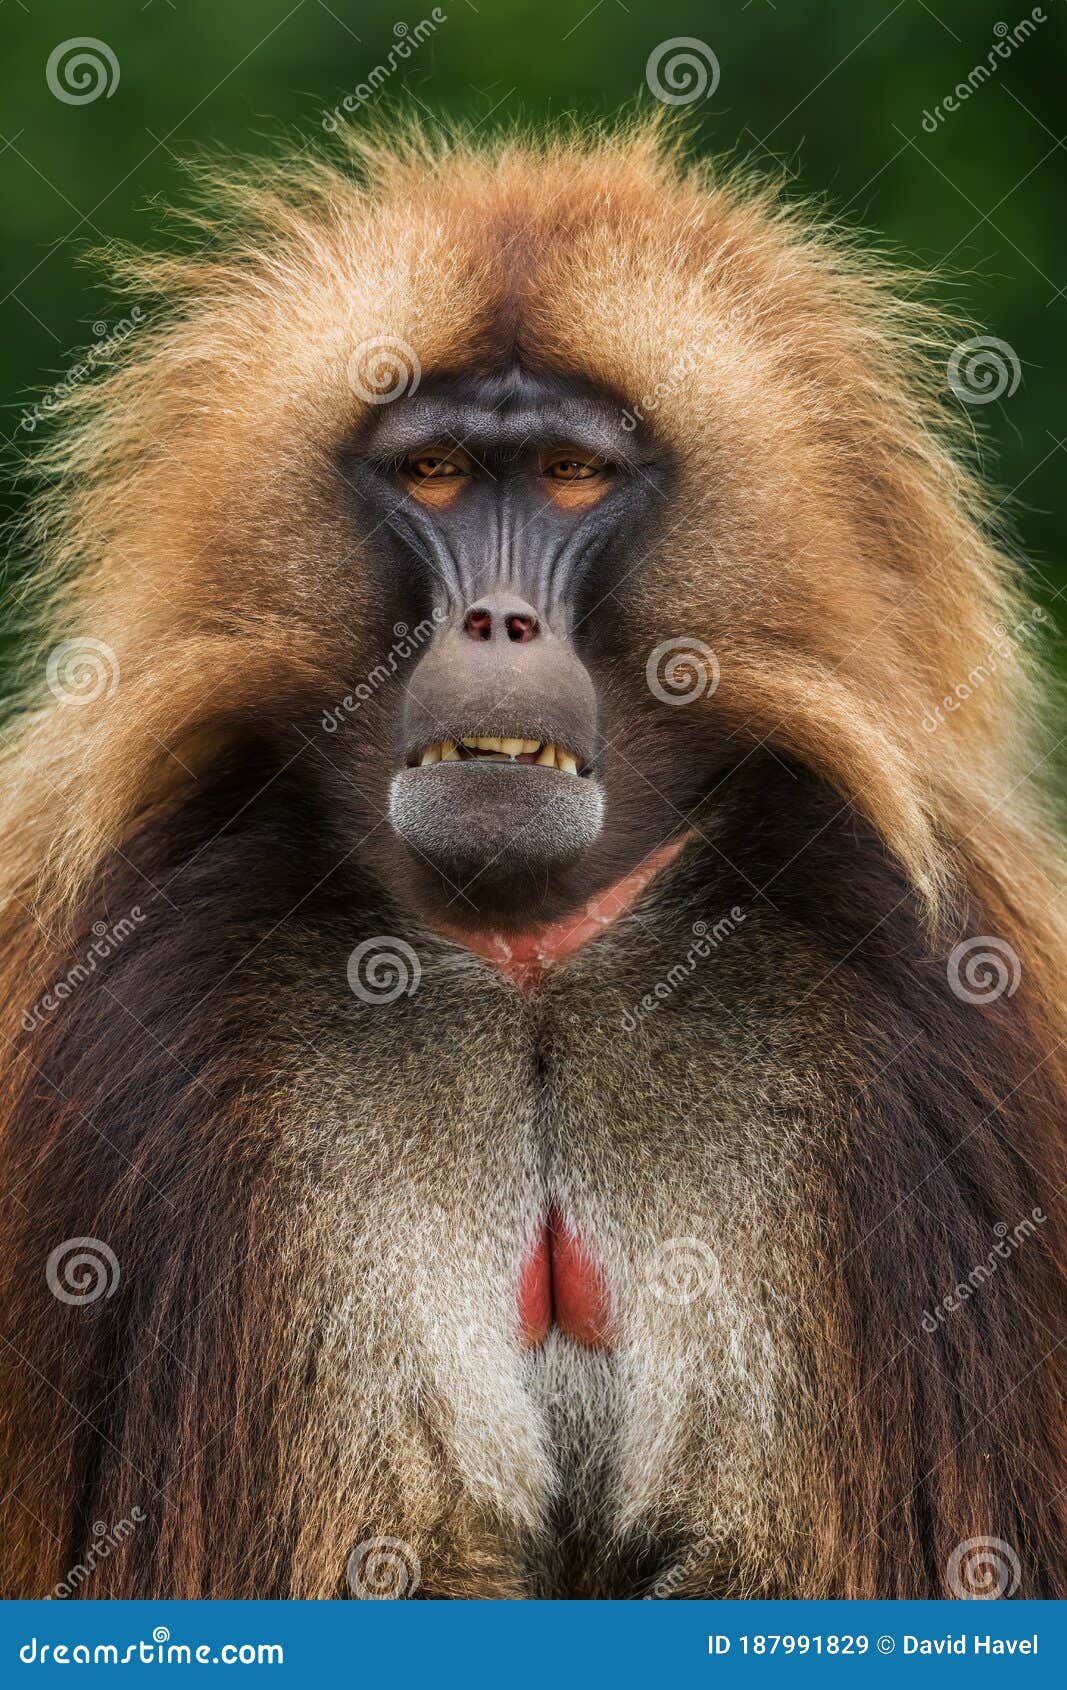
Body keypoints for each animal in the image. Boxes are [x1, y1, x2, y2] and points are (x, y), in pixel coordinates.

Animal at [0, 119, 1064, 1601]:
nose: (497, 621)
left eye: (569, 474)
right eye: (435, 471)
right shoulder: (138, 1037)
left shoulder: (926, 1024)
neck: (526, 965)